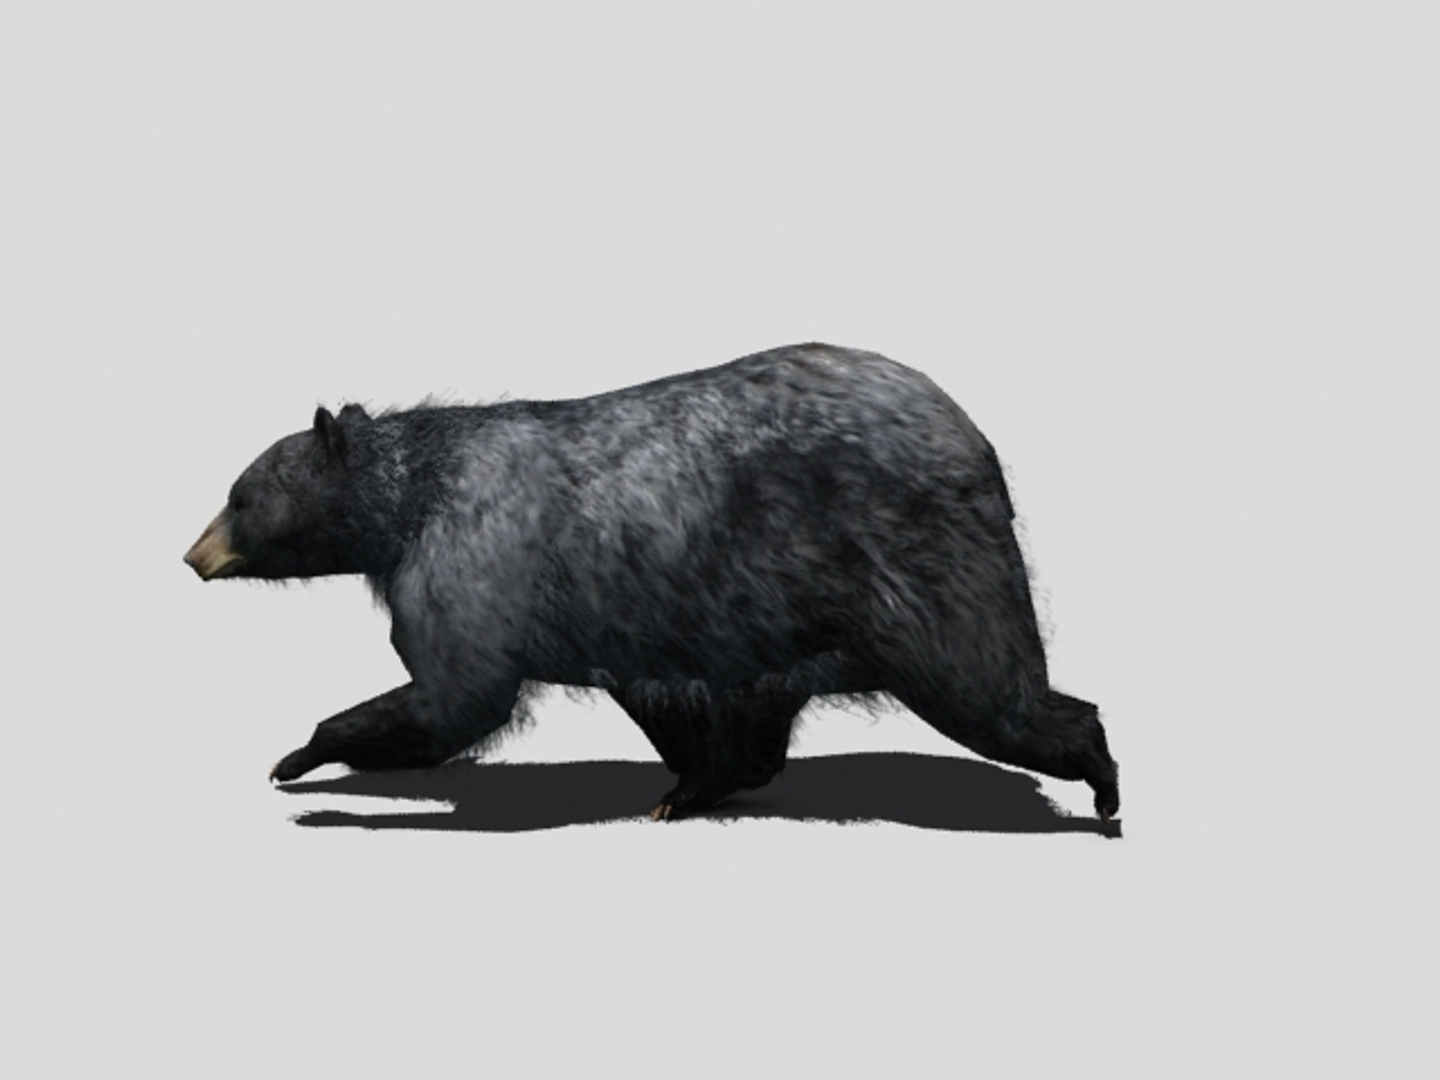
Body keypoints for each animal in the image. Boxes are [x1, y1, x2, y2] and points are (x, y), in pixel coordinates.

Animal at [184, 343, 1120, 822]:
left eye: (240, 494)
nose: (193, 554)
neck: (410, 494)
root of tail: (974, 439)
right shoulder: (637, 625)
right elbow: (667, 704)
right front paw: (691, 777)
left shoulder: (470, 552)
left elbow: (458, 692)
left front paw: (303, 754)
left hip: (919, 568)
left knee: (987, 686)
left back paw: (1100, 778)